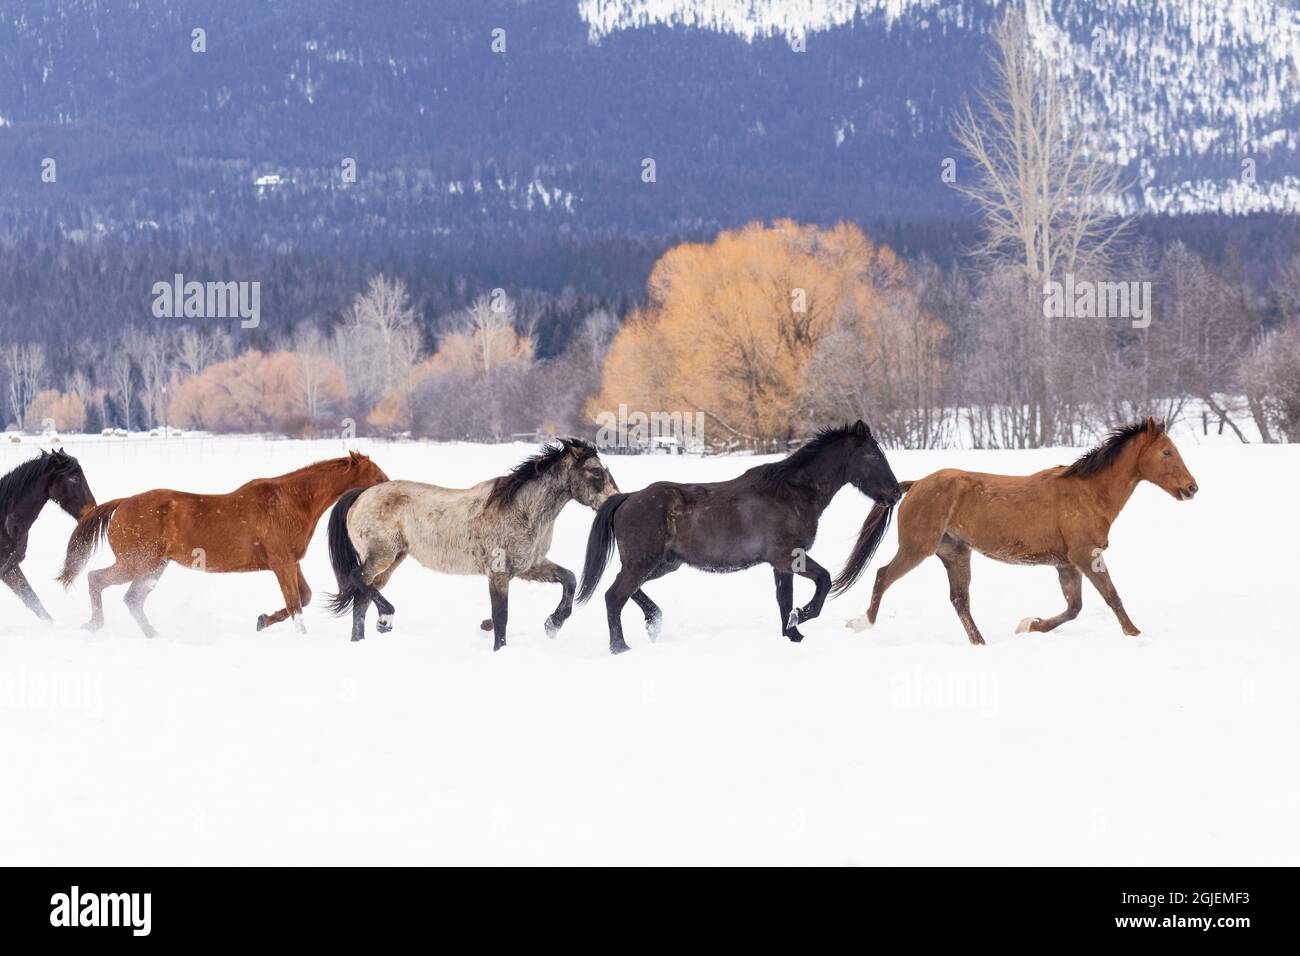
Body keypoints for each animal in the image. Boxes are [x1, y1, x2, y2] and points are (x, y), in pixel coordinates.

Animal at [57, 451, 389, 637]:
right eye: (375, 475)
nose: (389, 489)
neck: (291, 501)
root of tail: (123, 503)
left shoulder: (291, 562)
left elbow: (303, 598)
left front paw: (262, 621)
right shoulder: (281, 563)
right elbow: (296, 604)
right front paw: (300, 636)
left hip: (153, 567)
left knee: (132, 600)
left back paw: (153, 636)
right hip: (137, 562)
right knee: (96, 579)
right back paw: (94, 625)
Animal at [325, 437, 619, 649]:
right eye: (595, 472)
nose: (615, 501)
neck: (522, 510)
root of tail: (362, 494)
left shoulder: (529, 566)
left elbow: (569, 578)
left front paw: (553, 624)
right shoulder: (498, 573)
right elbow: (501, 617)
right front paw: (499, 647)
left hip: (392, 561)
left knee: (362, 600)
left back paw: (363, 640)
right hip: (381, 555)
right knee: (356, 578)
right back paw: (386, 618)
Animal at [575, 420, 902, 654]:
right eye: (872, 455)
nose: (896, 493)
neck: (792, 492)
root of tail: (628, 498)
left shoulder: (780, 565)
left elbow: (784, 601)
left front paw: (793, 633)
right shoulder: (789, 557)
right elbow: (823, 581)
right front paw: (802, 615)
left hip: (663, 564)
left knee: (625, 591)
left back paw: (652, 623)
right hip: (643, 563)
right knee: (614, 596)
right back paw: (620, 648)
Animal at [844, 418, 1198, 644]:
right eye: (1166, 452)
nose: (1192, 488)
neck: (1089, 493)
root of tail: (916, 484)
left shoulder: (1067, 564)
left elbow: (1074, 608)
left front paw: (1029, 625)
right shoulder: (1087, 556)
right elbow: (1112, 597)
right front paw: (1135, 634)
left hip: (955, 554)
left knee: (960, 600)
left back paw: (981, 643)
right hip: (917, 548)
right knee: (883, 576)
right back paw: (860, 623)